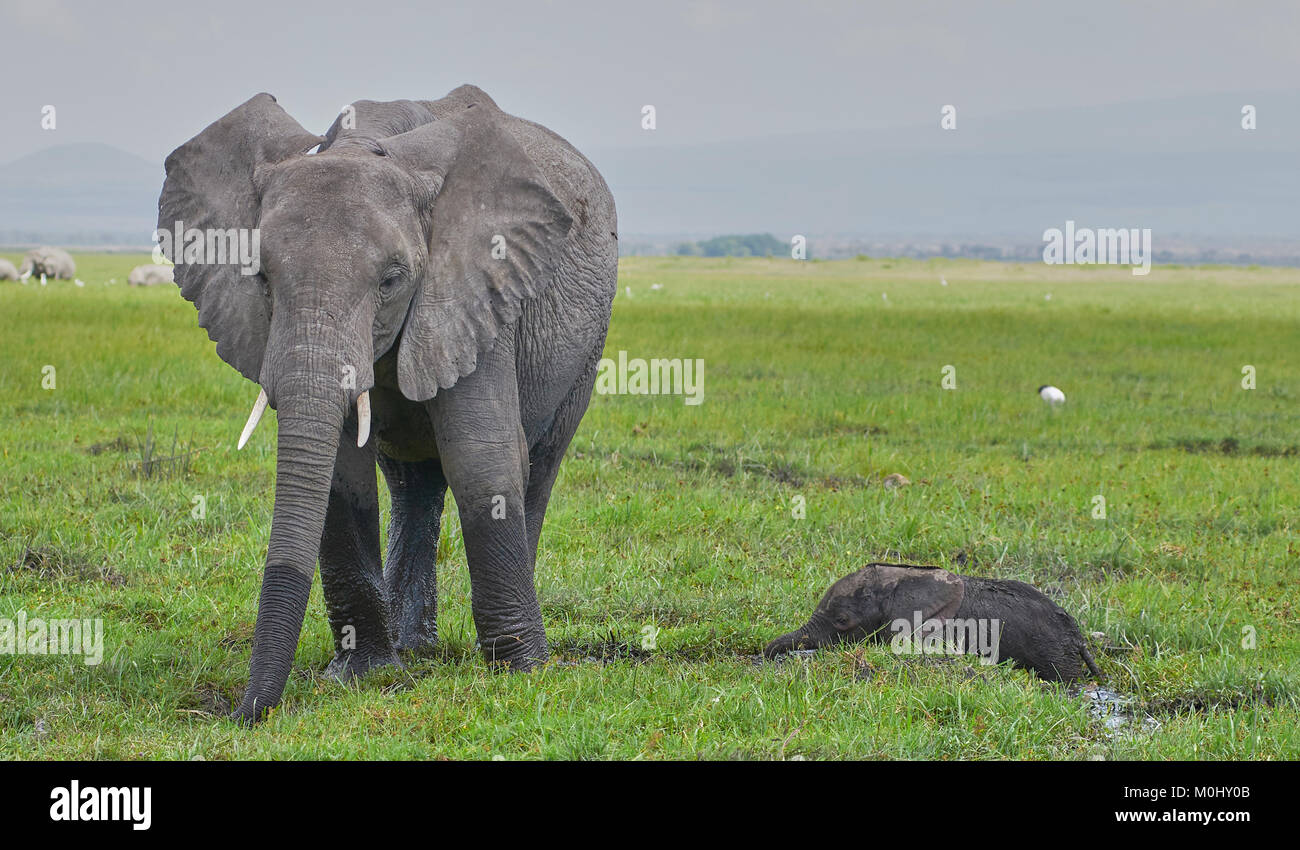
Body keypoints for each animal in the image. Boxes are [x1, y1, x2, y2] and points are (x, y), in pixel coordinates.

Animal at [158, 86, 617, 723]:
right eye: (262, 279)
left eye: (392, 281)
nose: (241, 714)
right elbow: (340, 472)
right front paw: (363, 674)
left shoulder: (479, 289)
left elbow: (481, 456)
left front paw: (522, 672)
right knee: (412, 484)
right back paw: (412, 648)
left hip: (585, 347)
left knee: (540, 463)